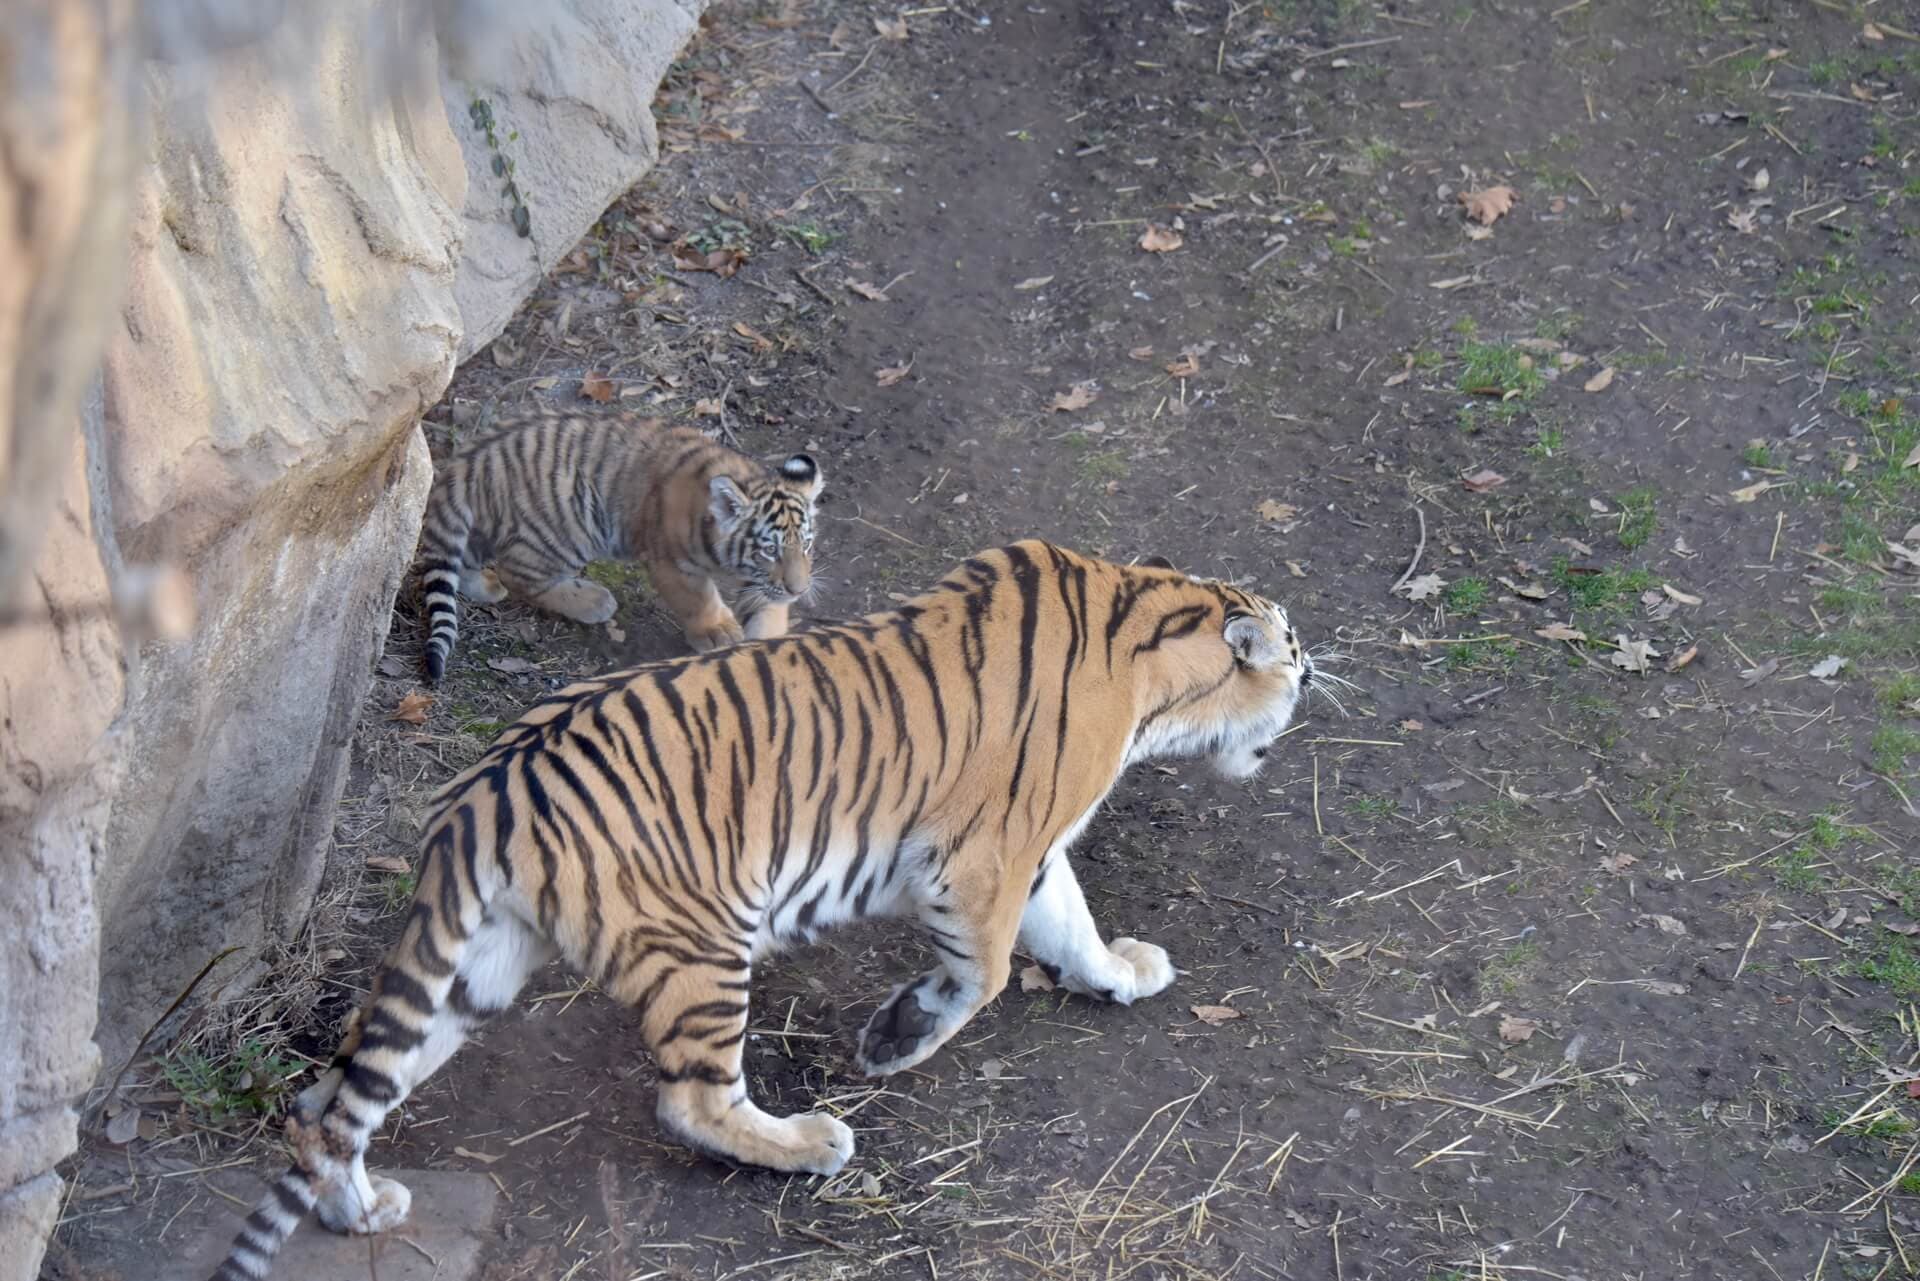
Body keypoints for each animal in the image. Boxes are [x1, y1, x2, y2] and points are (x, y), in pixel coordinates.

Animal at [212, 540, 1325, 1281]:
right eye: (1294, 648)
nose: (1313, 671)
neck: (1153, 638)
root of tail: (494, 786)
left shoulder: (1031, 855)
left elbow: (1073, 928)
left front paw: (1122, 973)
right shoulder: (984, 860)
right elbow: (989, 970)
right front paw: (898, 1036)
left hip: (474, 969)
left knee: (337, 1096)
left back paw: (360, 1208)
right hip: (704, 944)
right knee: (691, 1101)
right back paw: (808, 1144)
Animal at [416, 406, 822, 681]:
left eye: (806, 545)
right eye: (769, 550)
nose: (800, 590)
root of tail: (471, 458)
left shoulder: (761, 582)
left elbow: (768, 610)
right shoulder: (671, 563)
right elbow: (699, 600)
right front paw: (717, 632)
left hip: (483, 525)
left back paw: (484, 586)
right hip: (568, 524)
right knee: (519, 573)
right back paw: (594, 601)